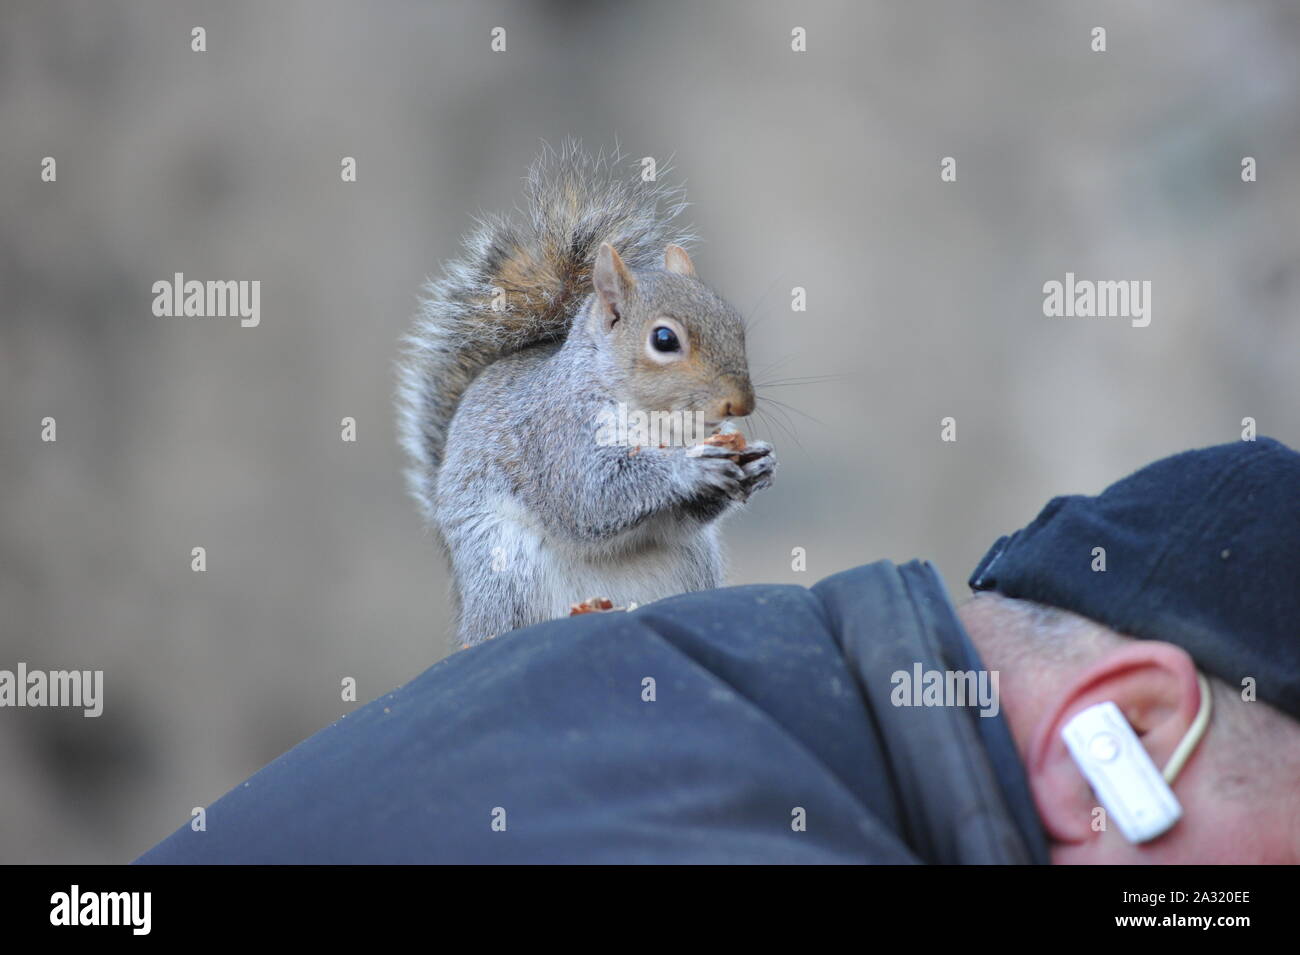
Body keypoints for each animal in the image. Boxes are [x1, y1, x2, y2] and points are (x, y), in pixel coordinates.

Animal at [397, 142, 776, 647]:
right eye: (664, 340)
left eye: (735, 324)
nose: (740, 404)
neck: (659, 420)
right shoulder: (557, 432)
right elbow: (589, 494)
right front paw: (688, 468)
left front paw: (758, 462)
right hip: (504, 571)